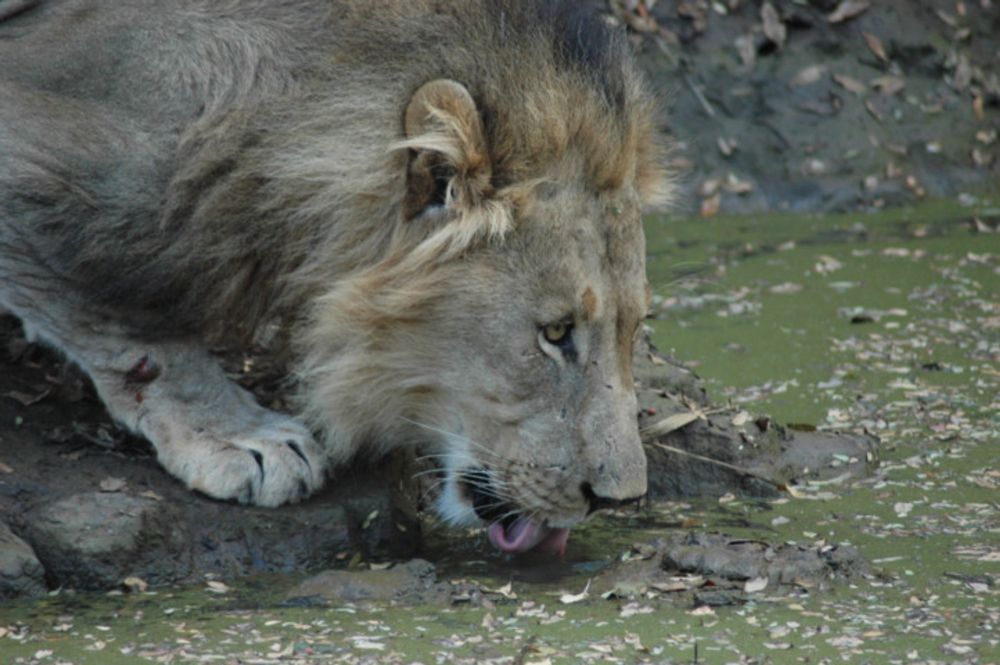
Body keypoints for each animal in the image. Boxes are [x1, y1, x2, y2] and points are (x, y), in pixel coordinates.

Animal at [0, 0, 670, 555]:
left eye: (635, 328)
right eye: (555, 334)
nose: (619, 500)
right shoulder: (34, 140)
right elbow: (122, 318)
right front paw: (240, 438)